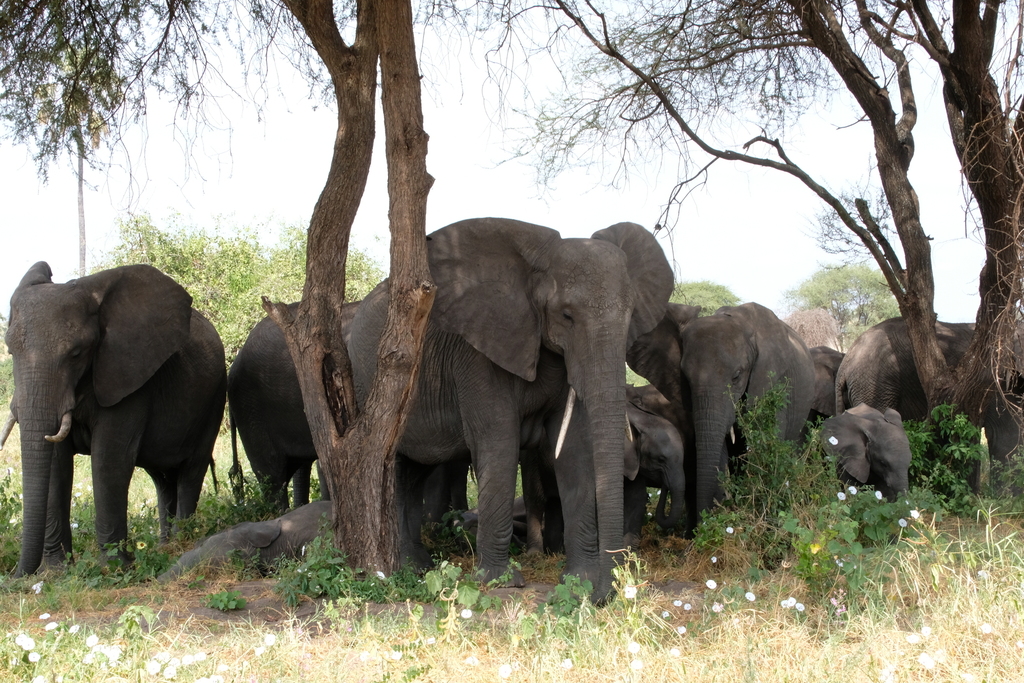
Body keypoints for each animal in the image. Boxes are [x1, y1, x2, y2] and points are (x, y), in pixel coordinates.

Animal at [2, 262, 226, 576]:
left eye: (76, 353)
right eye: (10, 350)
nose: (16, 575)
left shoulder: (126, 375)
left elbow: (109, 460)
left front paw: (114, 569)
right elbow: (56, 465)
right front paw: (56, 572)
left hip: (215, 396)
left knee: (191, 470)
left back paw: (184, 542)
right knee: (162, 478)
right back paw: (165, 545)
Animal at [519, 383, 685, 553]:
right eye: (660, 459)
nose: (665, 484)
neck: (638, 419)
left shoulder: (634, 463)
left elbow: (635, 499)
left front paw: (626, 554)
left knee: (555, 502)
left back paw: (556, 552)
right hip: (531, 455)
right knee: (536, 499)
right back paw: (536, 554)